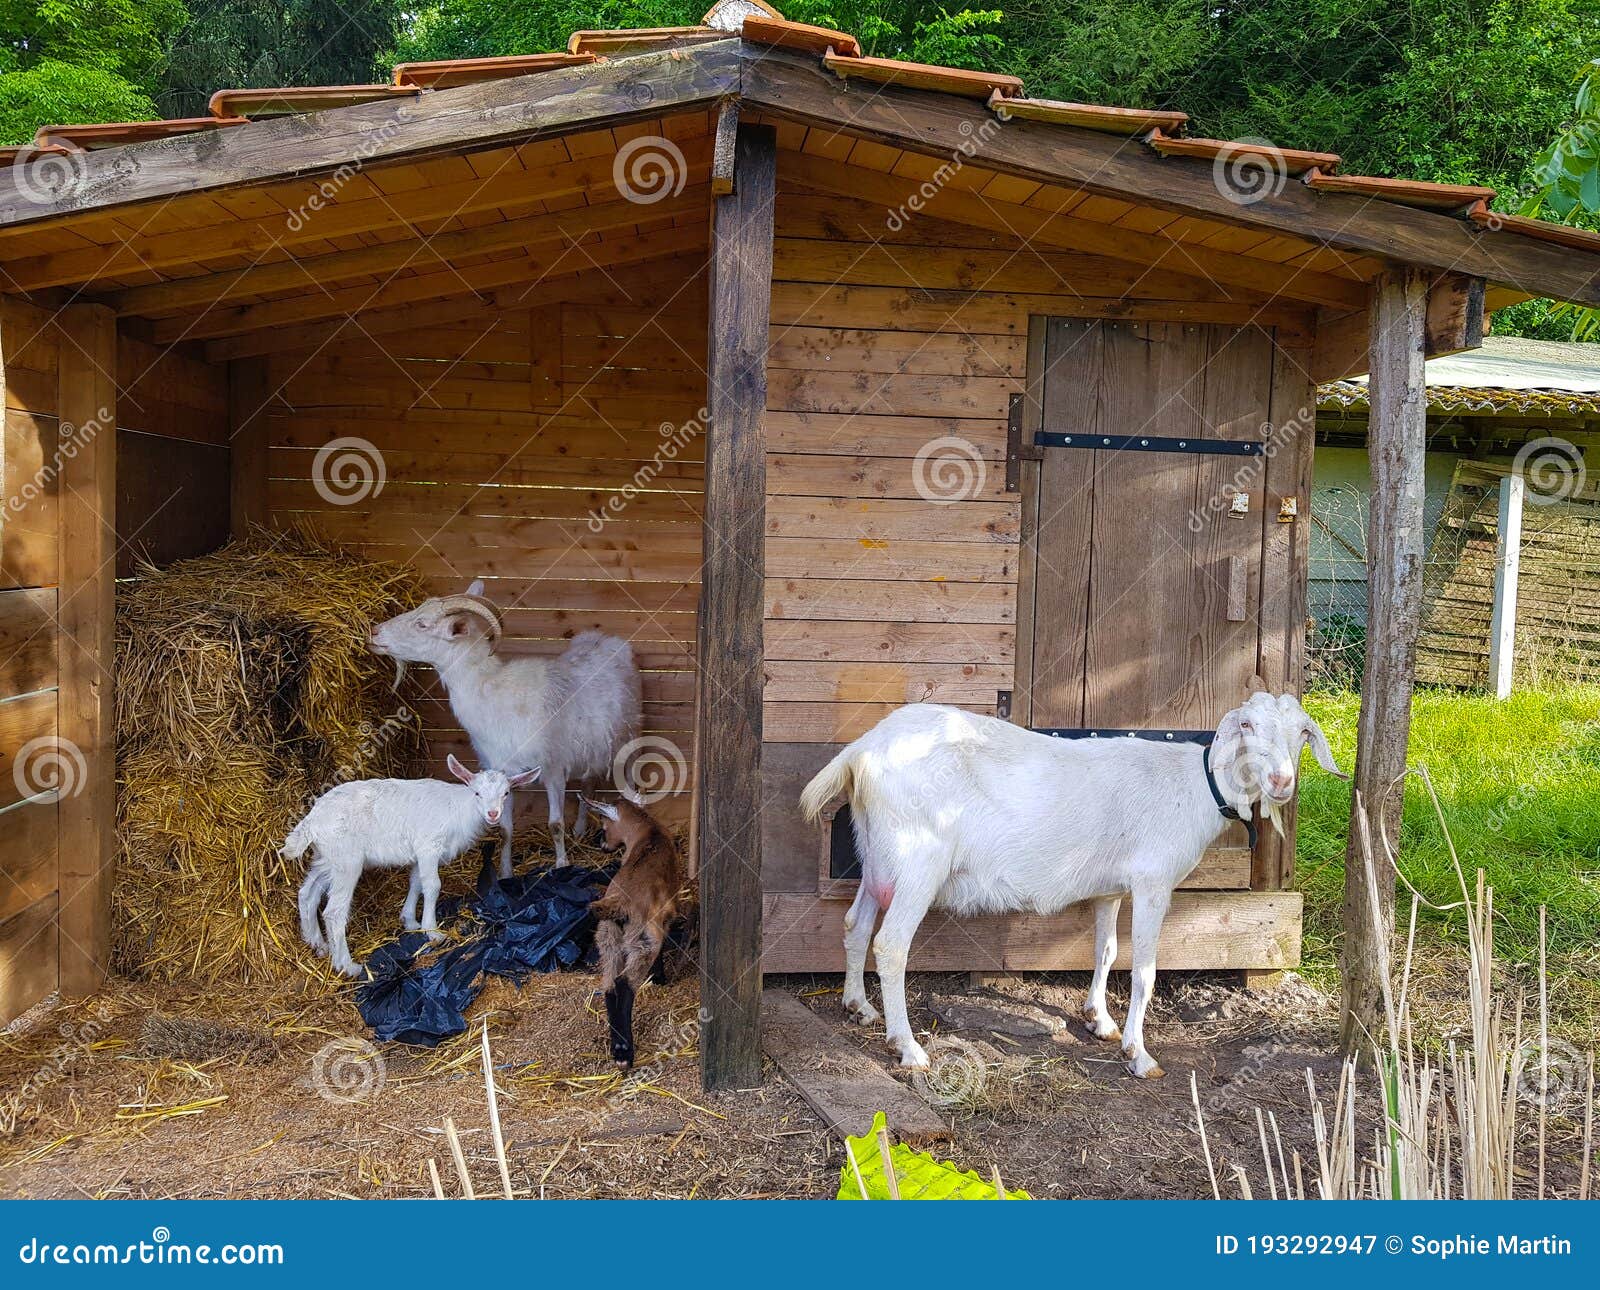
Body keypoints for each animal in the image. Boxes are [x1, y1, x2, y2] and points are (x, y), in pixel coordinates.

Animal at [285, 754, 540, 977]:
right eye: (477, 792)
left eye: (506, 793)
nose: (493, 814)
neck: (459, 807)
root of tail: (311, 821)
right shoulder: (428, 846)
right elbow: (433, 886)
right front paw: (433, 931)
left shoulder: (419, 853)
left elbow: (416, 882)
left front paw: (410, 921)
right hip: (346, 860)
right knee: (334, 911)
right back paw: (347, 966)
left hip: (327, 859)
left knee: (307, 894)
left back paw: (317, 944)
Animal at [369, 580, 642, 874]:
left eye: (422, 624)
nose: (374, 631)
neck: (493, 693)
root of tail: (608, 639)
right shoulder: (502, 770)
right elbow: (504, 830)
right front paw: (504, 873)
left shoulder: (553, 768)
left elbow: (555, 825)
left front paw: (561, 866)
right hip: (592, 748)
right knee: (589, 784)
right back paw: (580, 830)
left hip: (628, 739)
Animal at [581, 795, 682, 1070]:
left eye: (604, 825)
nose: (602, 844)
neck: (649, 833)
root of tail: (617, 906)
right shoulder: (665, 916)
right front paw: (659, 977)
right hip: (641, 943)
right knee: (624, 985)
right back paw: (625, 1053)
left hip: (608, 940)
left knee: (609, 986)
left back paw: (617, 1047)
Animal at [799, 688, 1343, 1077]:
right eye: (1247, 725)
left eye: (1302, 731)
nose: (1281, 782)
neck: (1196, 786)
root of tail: (862, 752)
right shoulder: (1153, 882)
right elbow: (1144, 970)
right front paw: (1139, 1054)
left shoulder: (1112, 888)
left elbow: (1104, 951)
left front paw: (1099, 1020)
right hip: (918, 858)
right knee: (891, 943)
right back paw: (907, 1047)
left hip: (877, 854)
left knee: (855, 922)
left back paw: (858, 1006)